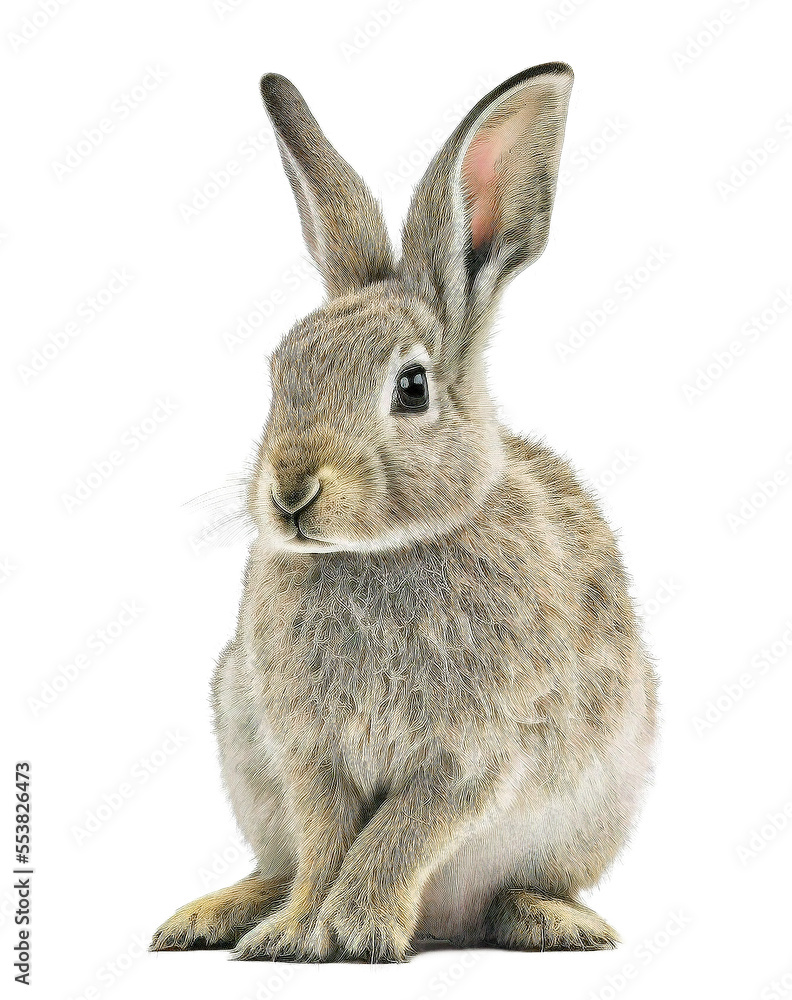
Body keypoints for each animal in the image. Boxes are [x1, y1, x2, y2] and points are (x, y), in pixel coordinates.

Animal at [150, 62, 658, 963]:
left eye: (412, 387)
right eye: (280, 371)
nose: (290, 490)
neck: (381, 550)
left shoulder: (473, 755)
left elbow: (401, 834)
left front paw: (356, 933)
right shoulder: (308, 754)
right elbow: (325, 839)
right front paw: (295, 938)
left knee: (517, 888)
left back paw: (556, 923)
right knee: (278, 863)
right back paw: (214, 917)